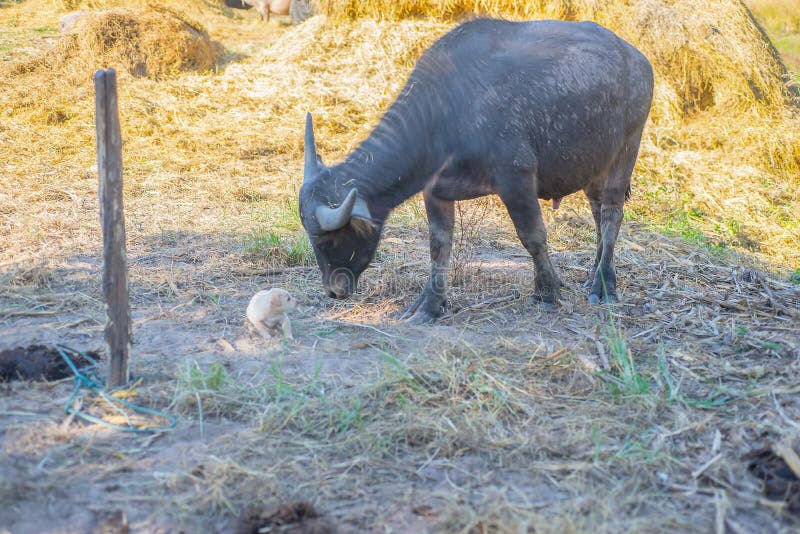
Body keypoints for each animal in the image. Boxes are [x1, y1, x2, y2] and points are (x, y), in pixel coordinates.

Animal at [299, 18, 654, 323]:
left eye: (326, 241)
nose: (333, 291)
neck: (447, 113)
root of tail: (637, 59)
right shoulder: (435, 192)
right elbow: (439, 246)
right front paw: (429, 304)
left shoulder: (516, 180)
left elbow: (533, 237)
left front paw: (546, 292)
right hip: (594, 166)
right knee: (598, 214)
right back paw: (596, 275)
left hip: (626, 152)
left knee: (611, 215)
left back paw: (603, 285)